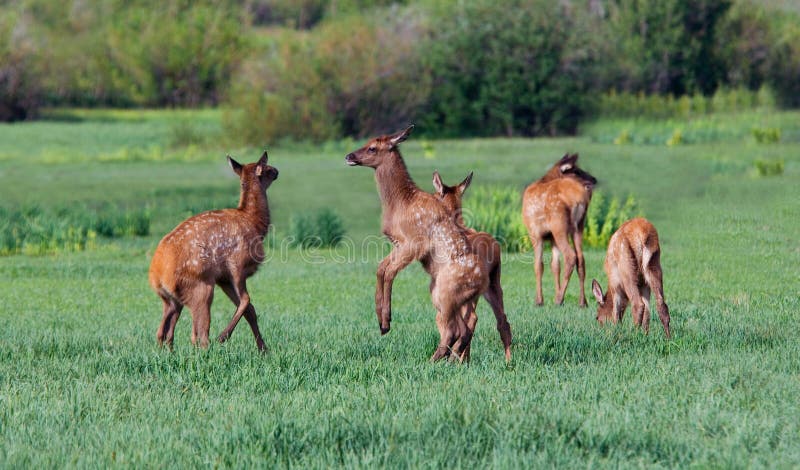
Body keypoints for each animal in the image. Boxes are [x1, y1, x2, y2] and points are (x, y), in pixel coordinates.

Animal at [148, 151, 278, 351]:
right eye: (267, 168)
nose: (277, 170)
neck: (254, 223)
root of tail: (157, 274)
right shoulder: (236, 264)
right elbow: (246, 300)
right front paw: (224, 336)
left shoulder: (223, 278)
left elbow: (250, 309)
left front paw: (263, 349)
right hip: (200, 287)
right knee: (198, 335)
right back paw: (212, 345)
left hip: (171, 300)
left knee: (163, 333)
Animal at [345, 125, 490, 362]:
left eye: (372, 147)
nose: (349, 156)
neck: (401, 202)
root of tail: (481, 283)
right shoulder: (398, 243)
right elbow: (381, 268)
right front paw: (380, 320)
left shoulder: (415, 243)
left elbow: (389, 272)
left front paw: (386, 321)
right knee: (464, 327)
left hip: (444, 292)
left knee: (455, 328)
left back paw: (436, 361)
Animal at [428, 171, 512, 362]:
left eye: (436, 195)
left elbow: (444, 322)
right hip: (492, 285)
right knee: (502, 321)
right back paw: (508, 361)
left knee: (469, 320)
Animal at [522, 153, 597, 307]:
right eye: (576, 171)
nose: (594, 179)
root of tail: (579, 200)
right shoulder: (551, 238)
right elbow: (555, 266)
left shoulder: (535, 233)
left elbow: (538, 265)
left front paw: (539, 301)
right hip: (578, 226)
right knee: (581, 258)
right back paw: (582, 302)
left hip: (559, 224)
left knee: (570, 256)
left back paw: (559, 299)